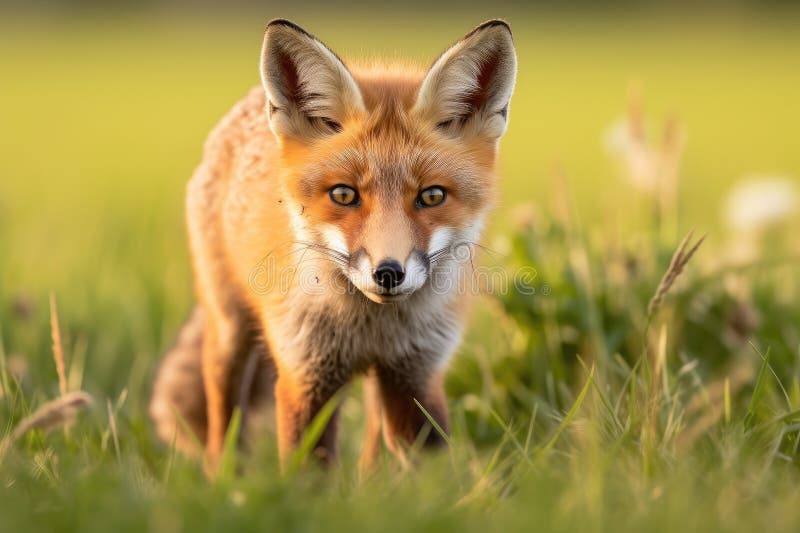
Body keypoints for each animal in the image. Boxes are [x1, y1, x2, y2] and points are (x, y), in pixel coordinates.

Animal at [149, 18, 517, 474]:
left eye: (432, 196)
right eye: (344, 195)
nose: (388, 273)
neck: (371, 328)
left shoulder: (417, 374)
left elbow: (429, 471)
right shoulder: (306, 375)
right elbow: (309, 473)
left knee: (375, 436)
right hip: (229, 329)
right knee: (223, 417)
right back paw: (224, 477)